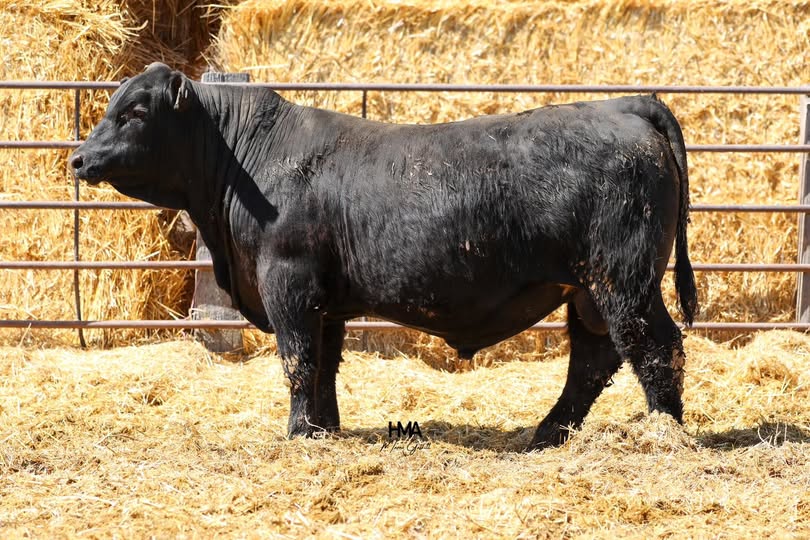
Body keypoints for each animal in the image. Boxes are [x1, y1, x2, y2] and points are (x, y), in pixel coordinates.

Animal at [71, 63, 698, 450]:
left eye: (135, 111)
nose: (78, 159)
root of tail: (625, 105)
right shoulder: (326, 302)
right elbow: (323, 365)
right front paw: (323, 429)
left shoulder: (288, 284)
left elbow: (297, 361)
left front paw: (297, 433)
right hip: (590, 289)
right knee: (593, 360)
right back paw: (546, 435)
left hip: (623, 279)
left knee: (654, 347)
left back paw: (664, 432)